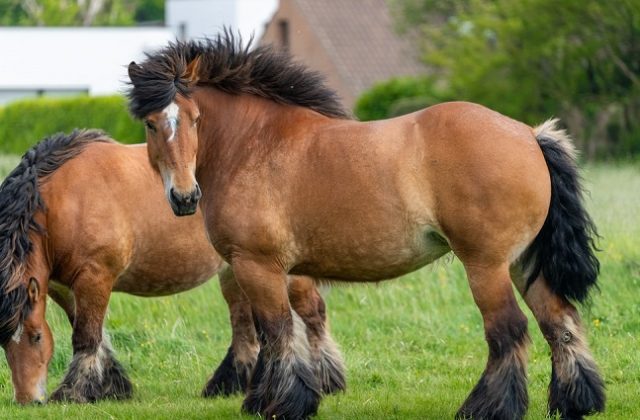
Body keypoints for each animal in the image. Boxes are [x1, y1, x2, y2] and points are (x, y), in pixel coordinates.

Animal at [0, 130, 345, 405]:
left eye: (36, 337)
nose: (27, 400)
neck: (64, 200)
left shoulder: (95, 277)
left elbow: (85, 337)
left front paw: (73, 393)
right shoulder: (63, 286)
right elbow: (95, 336)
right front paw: (113, 387)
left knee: (312, 313)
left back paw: (328, 380)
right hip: (236, 273)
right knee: (246, 328)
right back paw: (232, 384)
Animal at [126, 33, 605, 419]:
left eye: (194, 119)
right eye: (151, 123)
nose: (184, 198)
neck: (252, 145)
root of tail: (529, 135)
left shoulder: (256, 266)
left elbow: (277, 332)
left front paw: (285, 403)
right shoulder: (276, 271)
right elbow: (279, 331)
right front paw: (265, 399)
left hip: (486, 267)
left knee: (509, 332)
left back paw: (488, 407)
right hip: (524, 264)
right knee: (558, 321)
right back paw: (575, 401)